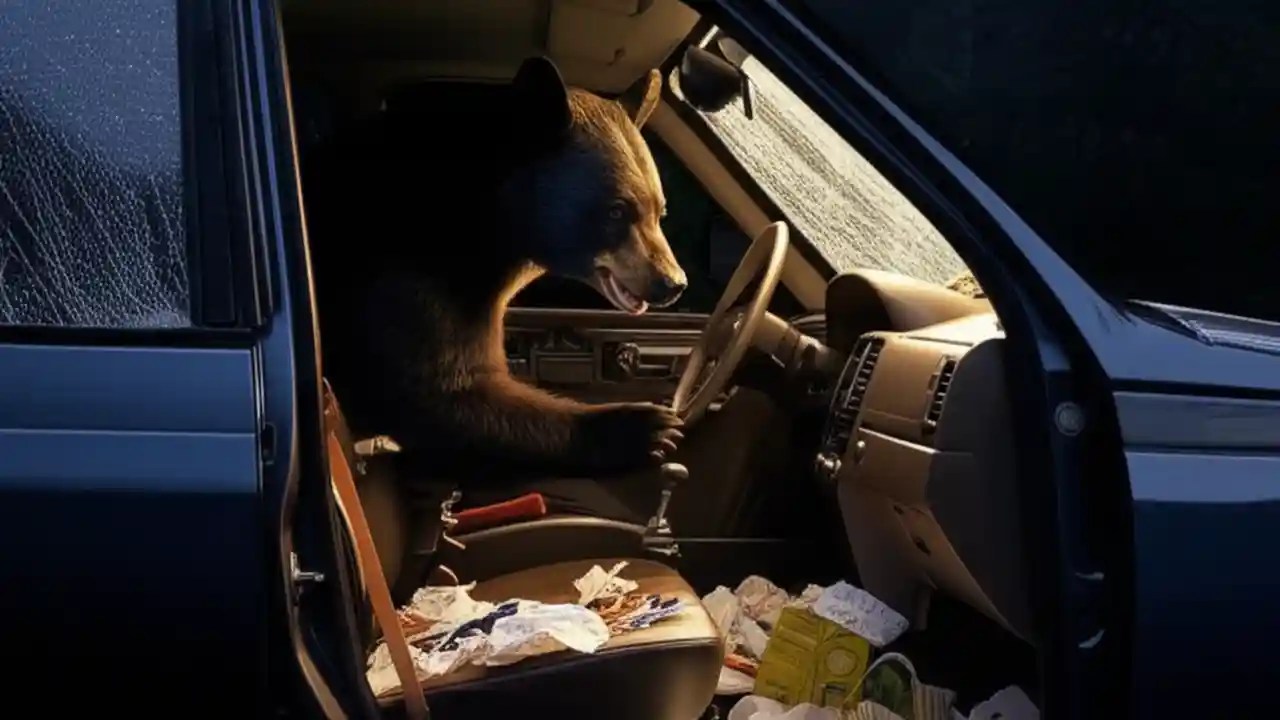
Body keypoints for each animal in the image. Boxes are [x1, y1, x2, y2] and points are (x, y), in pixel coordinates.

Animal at [304, 57, 689, 484]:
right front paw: (644, 426)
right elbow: (442, 392)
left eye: (660, 209)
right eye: (617, 210)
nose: (672, 282)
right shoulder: (404, 278)